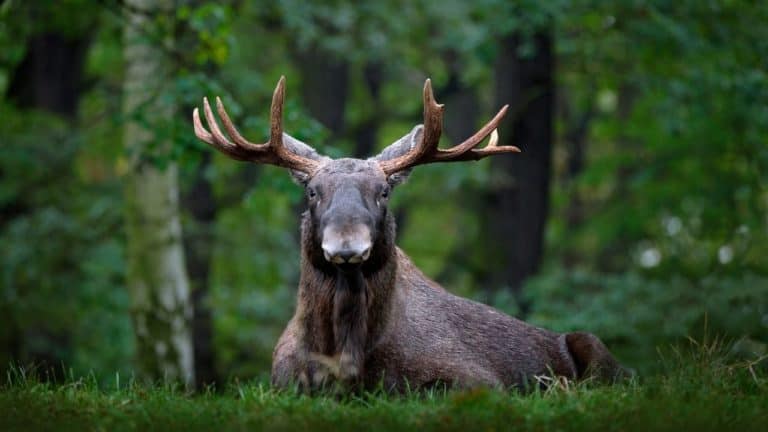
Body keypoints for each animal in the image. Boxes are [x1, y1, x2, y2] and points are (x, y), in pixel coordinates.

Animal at [192, 76, 626, 392]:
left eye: (383, 192)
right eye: (313, 191)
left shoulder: (480, 380)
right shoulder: (281, 381)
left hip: (600, 352)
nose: (346, 245)